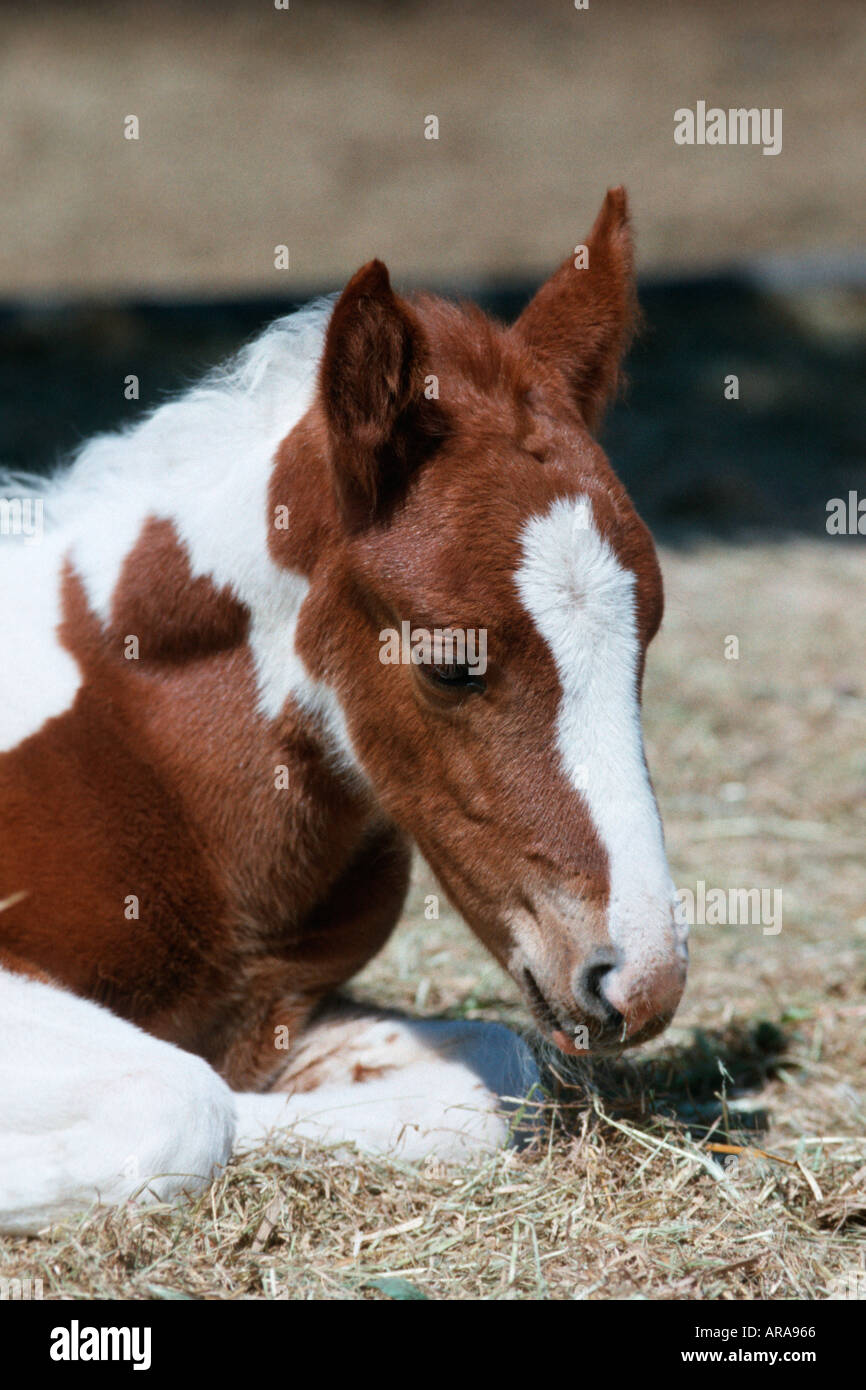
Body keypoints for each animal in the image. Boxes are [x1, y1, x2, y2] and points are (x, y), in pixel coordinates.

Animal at [0, 188, 687, 1232]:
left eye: (649, 631)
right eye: (450, 664)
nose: (641, 981)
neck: (141, 748)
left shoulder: (285, 1007)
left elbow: (497, 1070)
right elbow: (181, 1099)